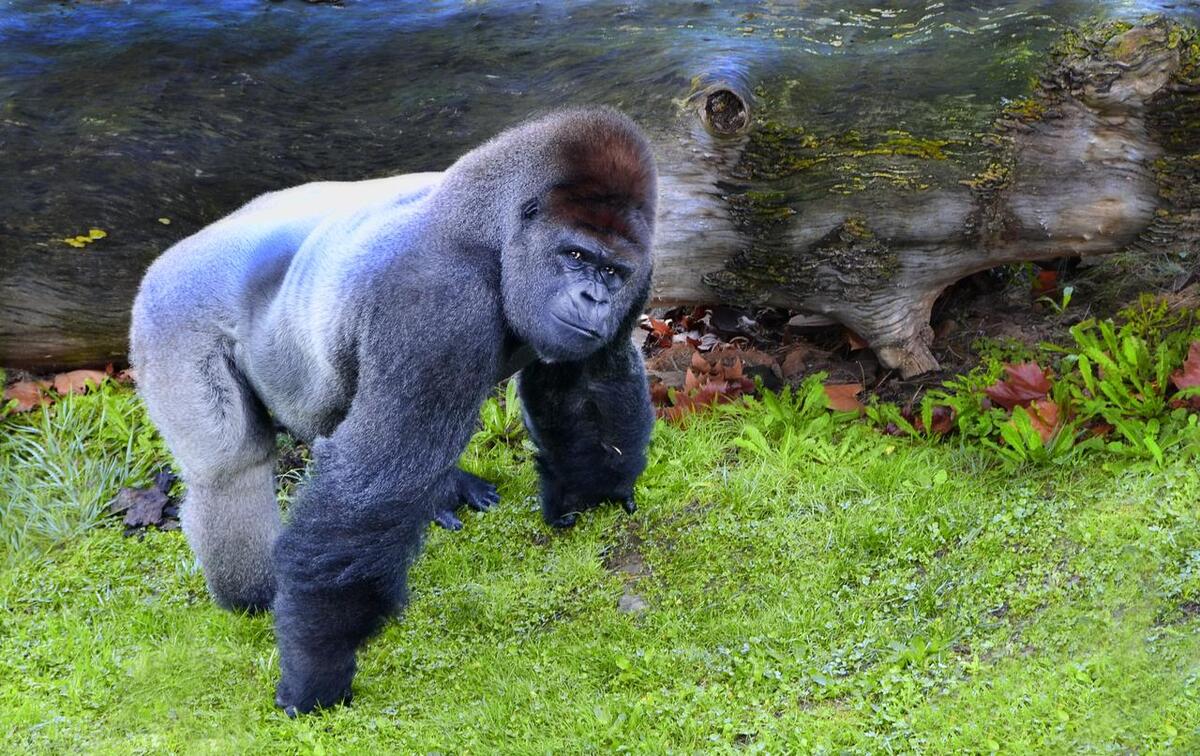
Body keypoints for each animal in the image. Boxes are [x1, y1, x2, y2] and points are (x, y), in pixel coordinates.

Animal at [128, 108, 657, 715]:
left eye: (612, 272)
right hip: (170, 313)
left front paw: (589, 490)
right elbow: (372, 490)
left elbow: (587, 381)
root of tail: (175, 252)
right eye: (574, 256)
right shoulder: (435, 301)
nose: (595, 298)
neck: (489, 228)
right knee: (230, 473)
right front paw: (316, 669)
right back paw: (255, 596)